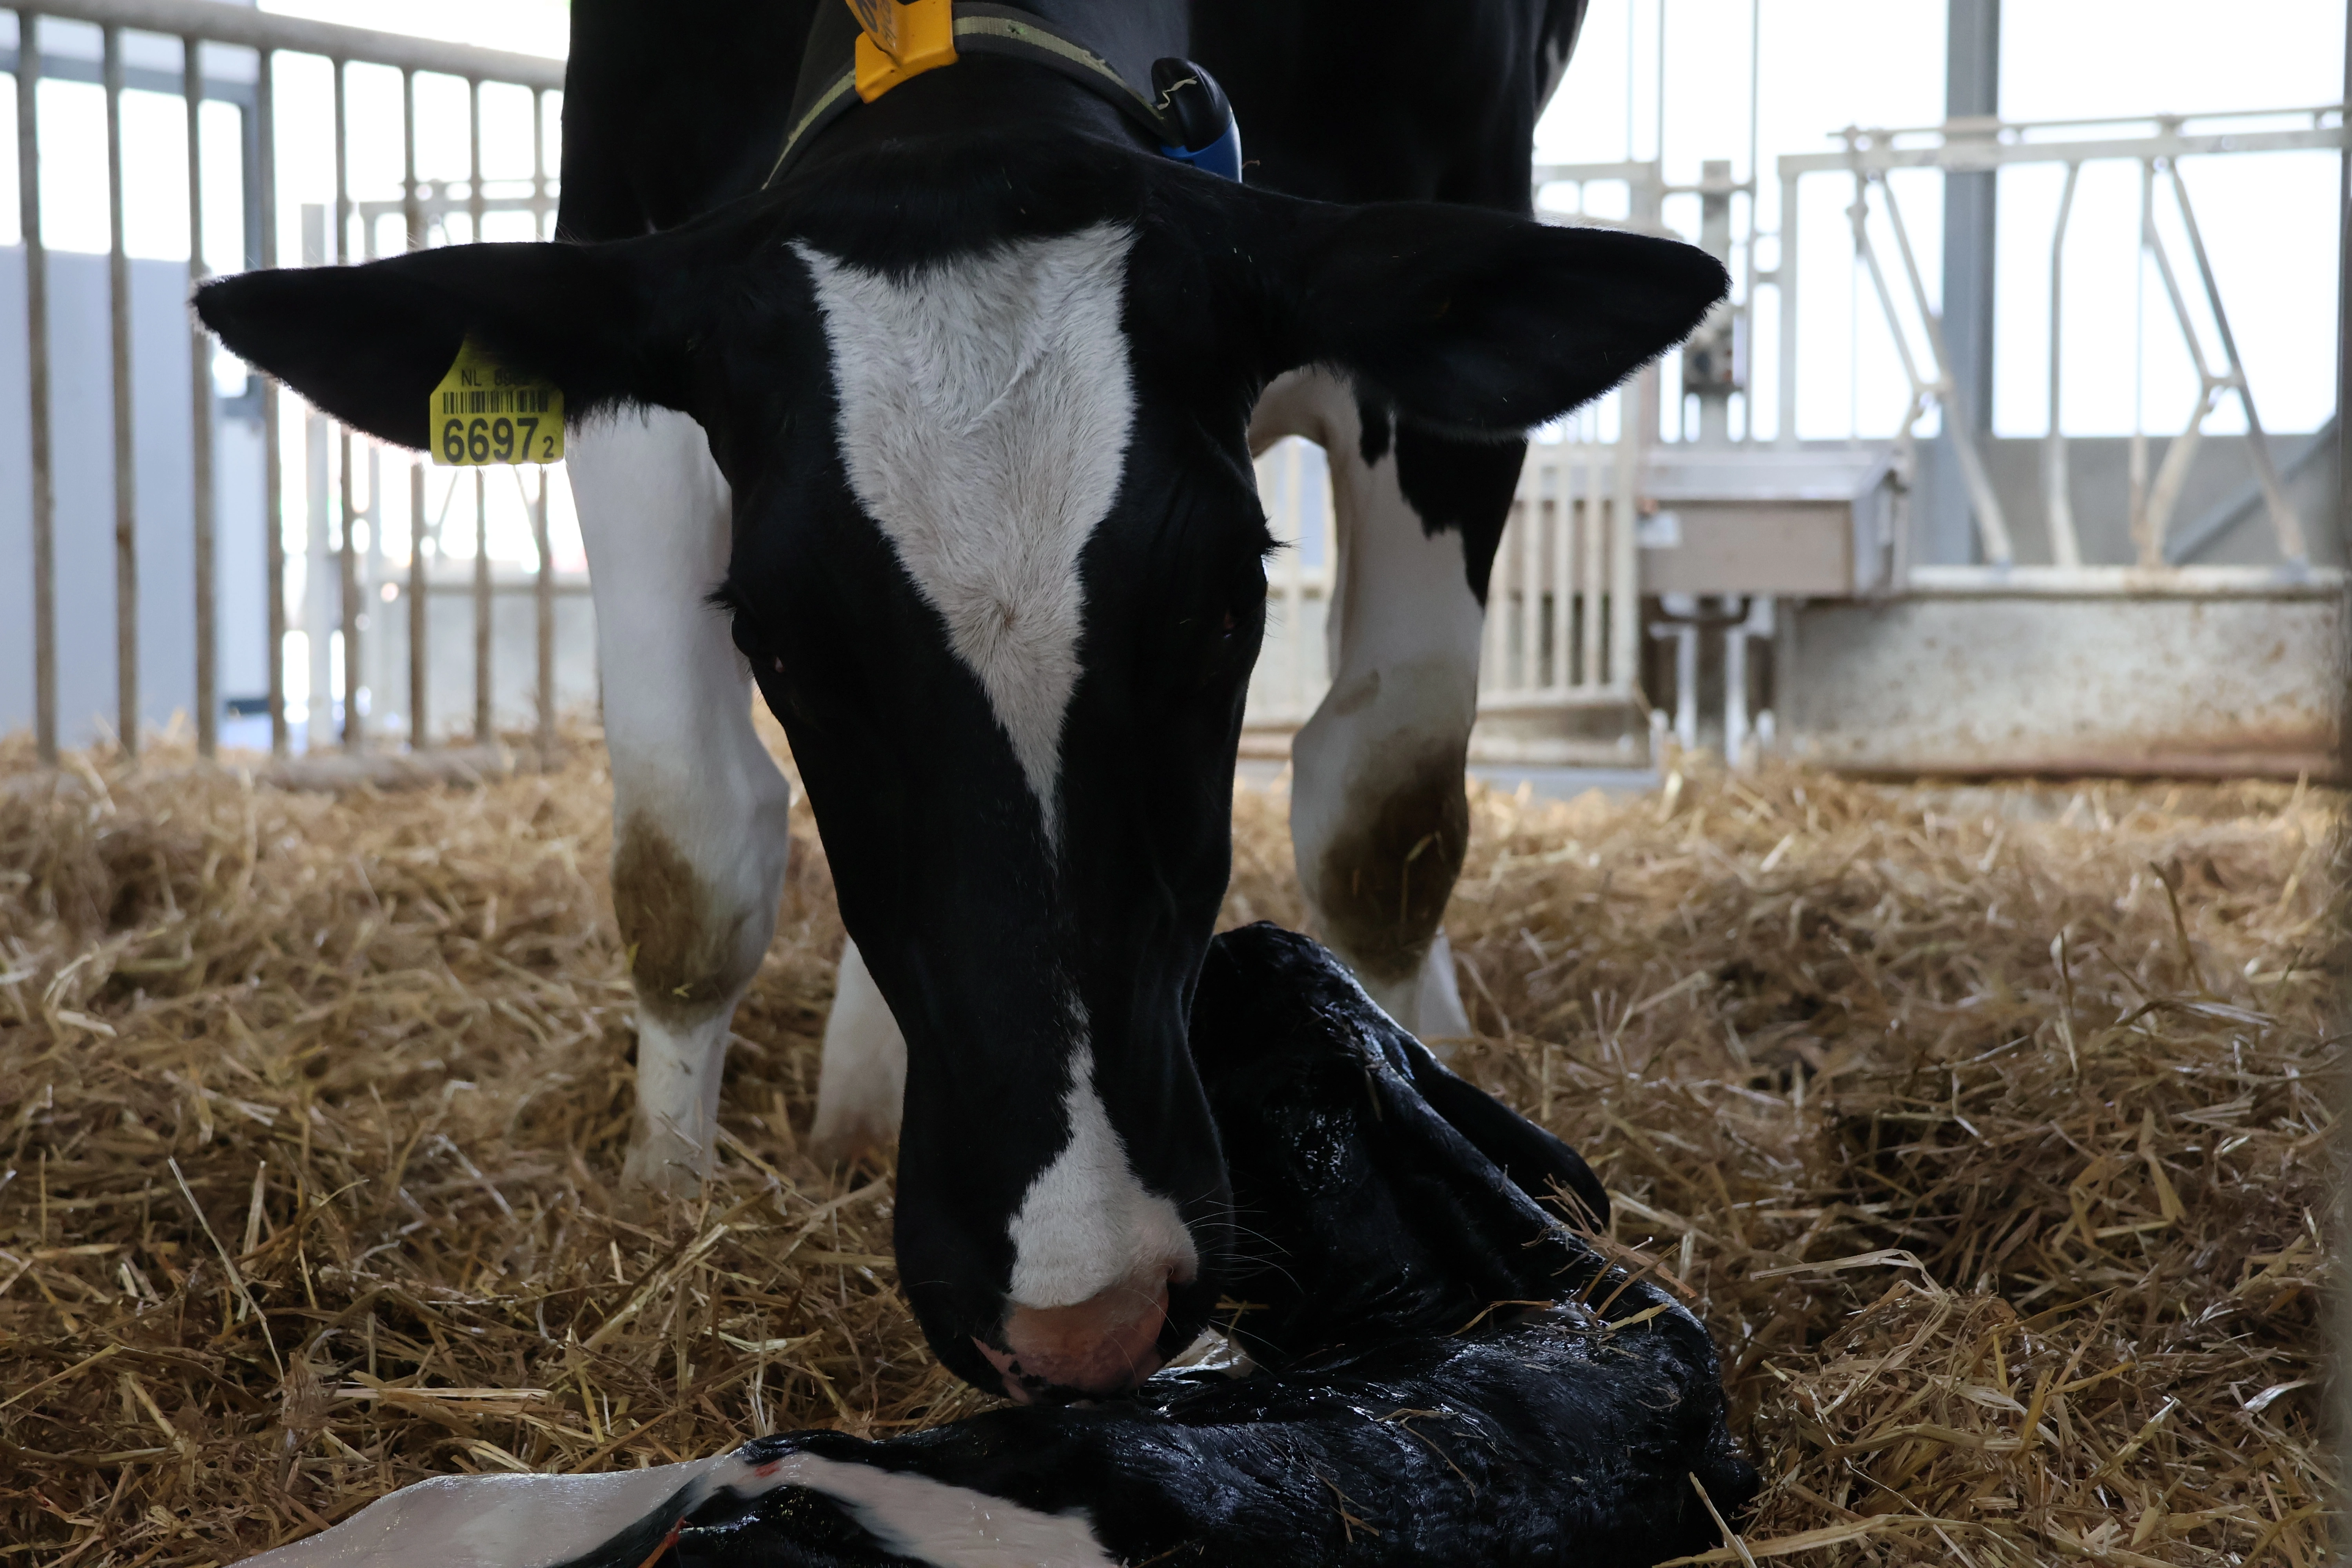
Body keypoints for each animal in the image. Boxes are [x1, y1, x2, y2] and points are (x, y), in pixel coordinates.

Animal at [195, 0, 1724, 1406]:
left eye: (1229, 598)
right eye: (779, 638)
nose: (1082, 1314)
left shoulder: (1451, 241)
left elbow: (1381, 810)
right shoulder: (626, 298)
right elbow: (688, 856)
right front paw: (661, 1196)